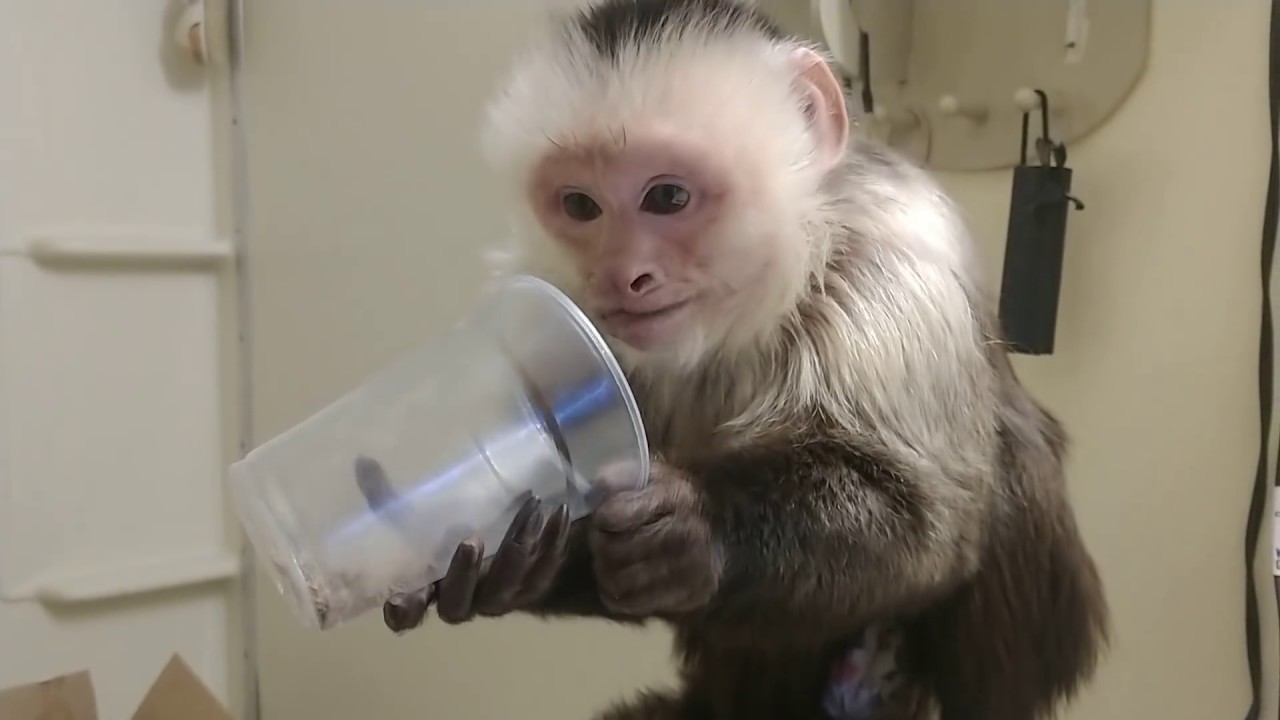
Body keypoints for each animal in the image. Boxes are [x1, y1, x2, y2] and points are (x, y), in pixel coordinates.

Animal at [376, 1, 1110, 718]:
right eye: (581, 206)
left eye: (667, 197)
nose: (623, 276)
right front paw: (515, 553)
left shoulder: (885, 272)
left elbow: (926, 523)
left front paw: (696, 529)